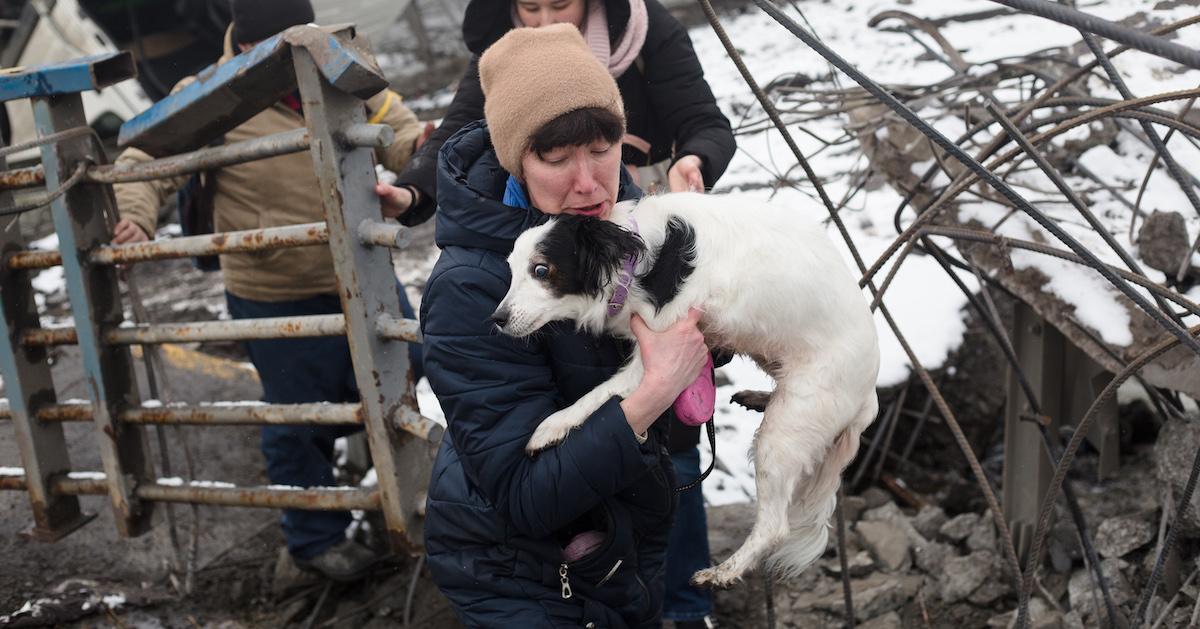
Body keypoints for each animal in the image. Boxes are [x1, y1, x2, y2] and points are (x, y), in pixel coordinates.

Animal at [489, 193, 883, 590]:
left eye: (541, 270)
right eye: (511, 269)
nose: (497, 319)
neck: (637, 259)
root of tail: (869, 397)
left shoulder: (658, 352)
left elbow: (595, 396)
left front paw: (549, 429)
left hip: (786, 433)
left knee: (774, 527)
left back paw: (722, 572)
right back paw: (760, 398)